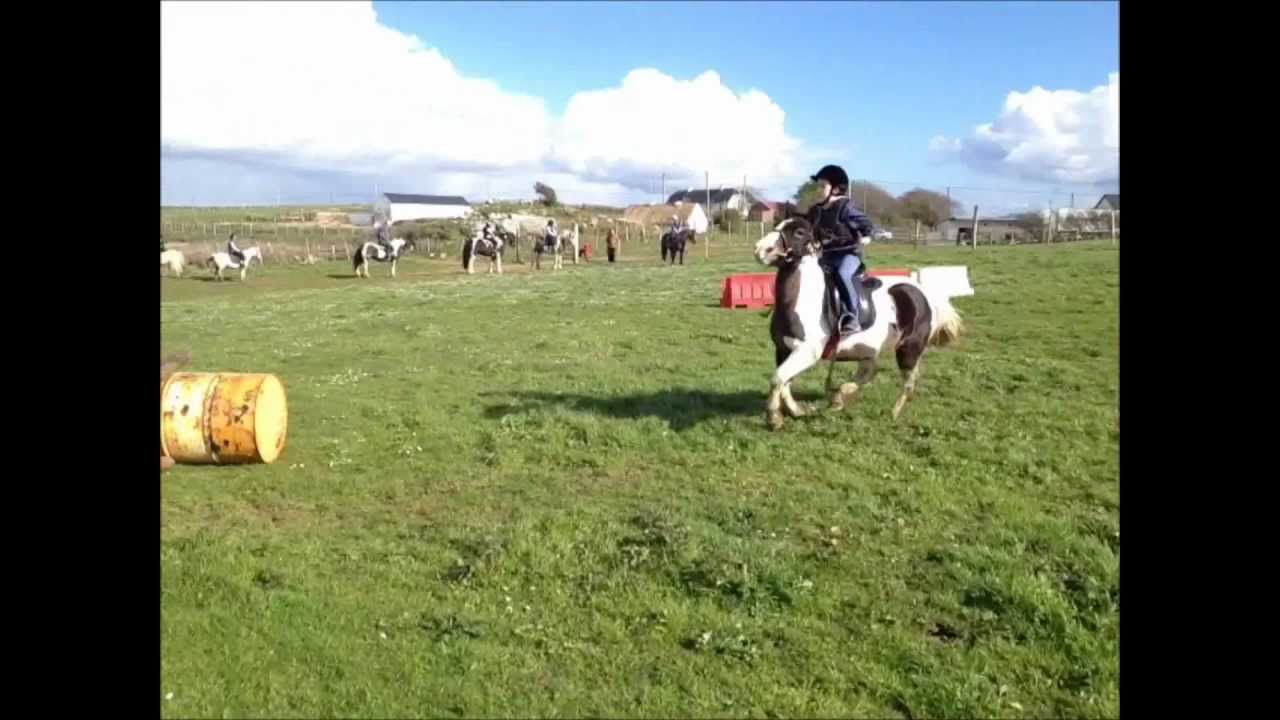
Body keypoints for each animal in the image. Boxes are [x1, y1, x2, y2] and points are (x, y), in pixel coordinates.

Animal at [753, 217, 964, 430]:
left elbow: (778, 378)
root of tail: (924, 292)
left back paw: (893, 412)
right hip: (869, 348)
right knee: (869, 371)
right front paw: (797, 410)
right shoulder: (783, 349)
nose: (761, 249)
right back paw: (839, 397)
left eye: (799, 232)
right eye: (778, 225)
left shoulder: (807, 351)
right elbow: (784, 382)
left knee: (908, 381)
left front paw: (774, 418)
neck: (800, 298)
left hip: (909, 348)